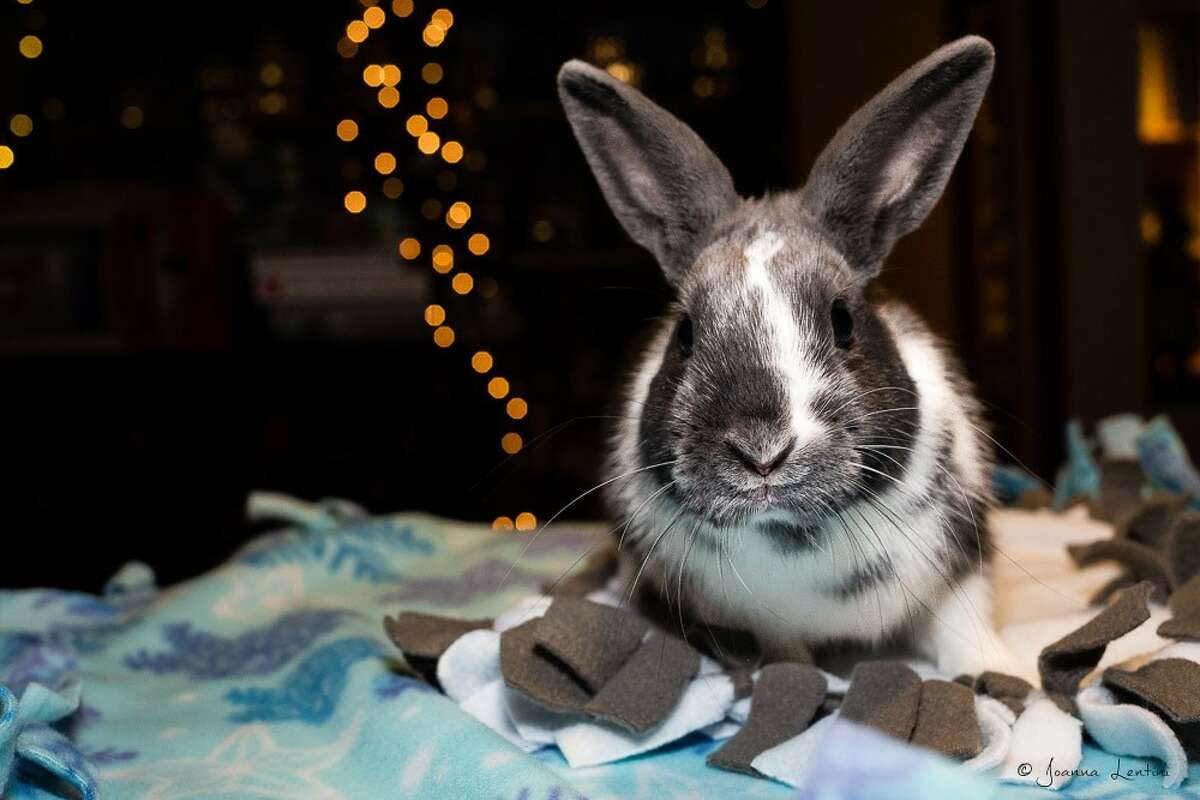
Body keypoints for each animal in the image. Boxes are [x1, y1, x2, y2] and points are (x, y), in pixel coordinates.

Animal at [556, 36, 1029, 681]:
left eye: (843, 321)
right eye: (685, 333)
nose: (763, 450)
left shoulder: (960, 563)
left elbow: (966, 622)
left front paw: (1011, 678)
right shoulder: (756, 620)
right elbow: (785, 654)